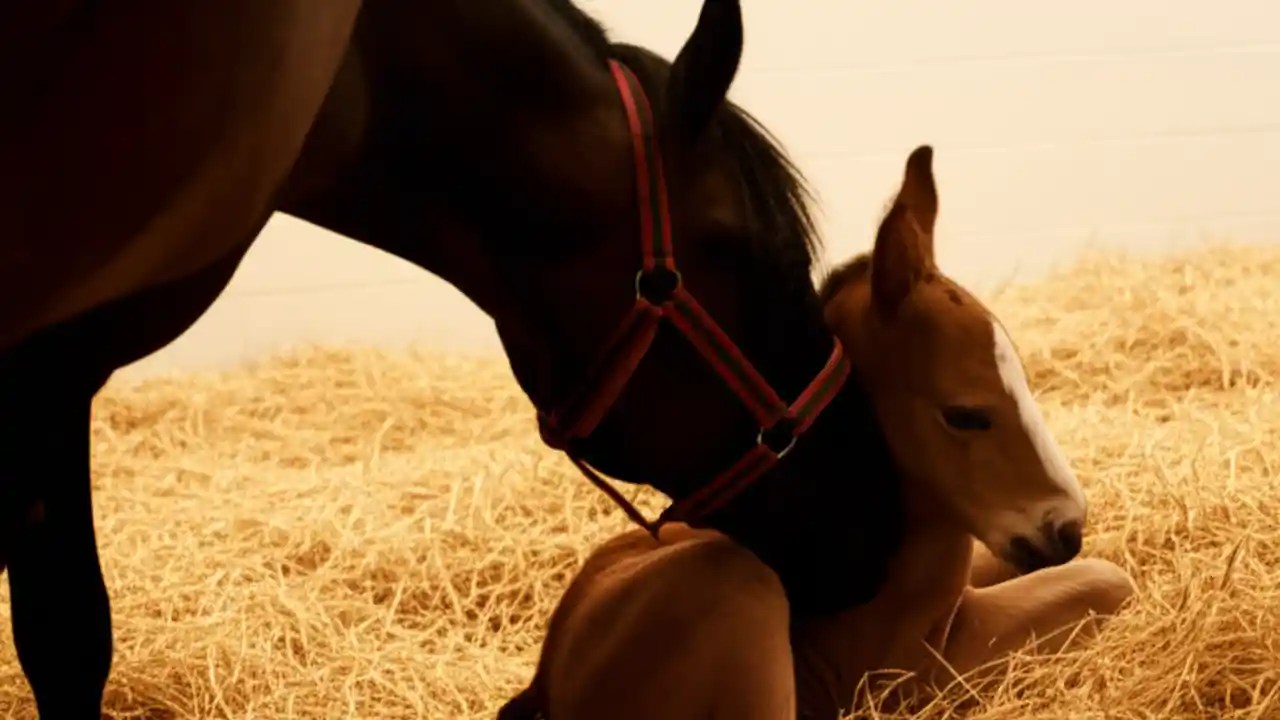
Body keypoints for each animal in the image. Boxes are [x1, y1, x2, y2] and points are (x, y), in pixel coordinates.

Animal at [498, 145, 1137, 720]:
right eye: (963, 414)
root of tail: (545, 683)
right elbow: (1108, 580)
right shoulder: (910, 670)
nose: (1066, 530)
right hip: (739, 592)